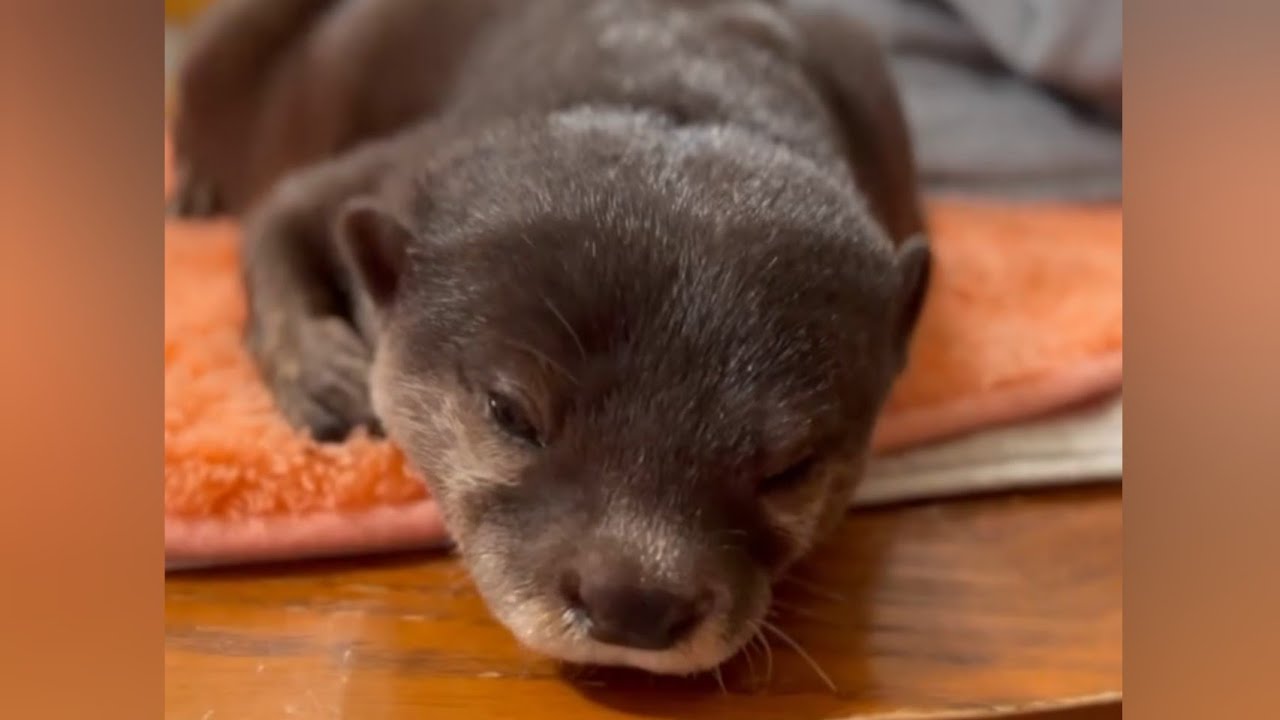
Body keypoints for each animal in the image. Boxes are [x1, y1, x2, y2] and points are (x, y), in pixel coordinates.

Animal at [170, 0, 930, 674]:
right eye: (510, 413)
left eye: (791, 467)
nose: (633, 602)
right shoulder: (376, 172)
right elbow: (277, 217)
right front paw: (324, 374)